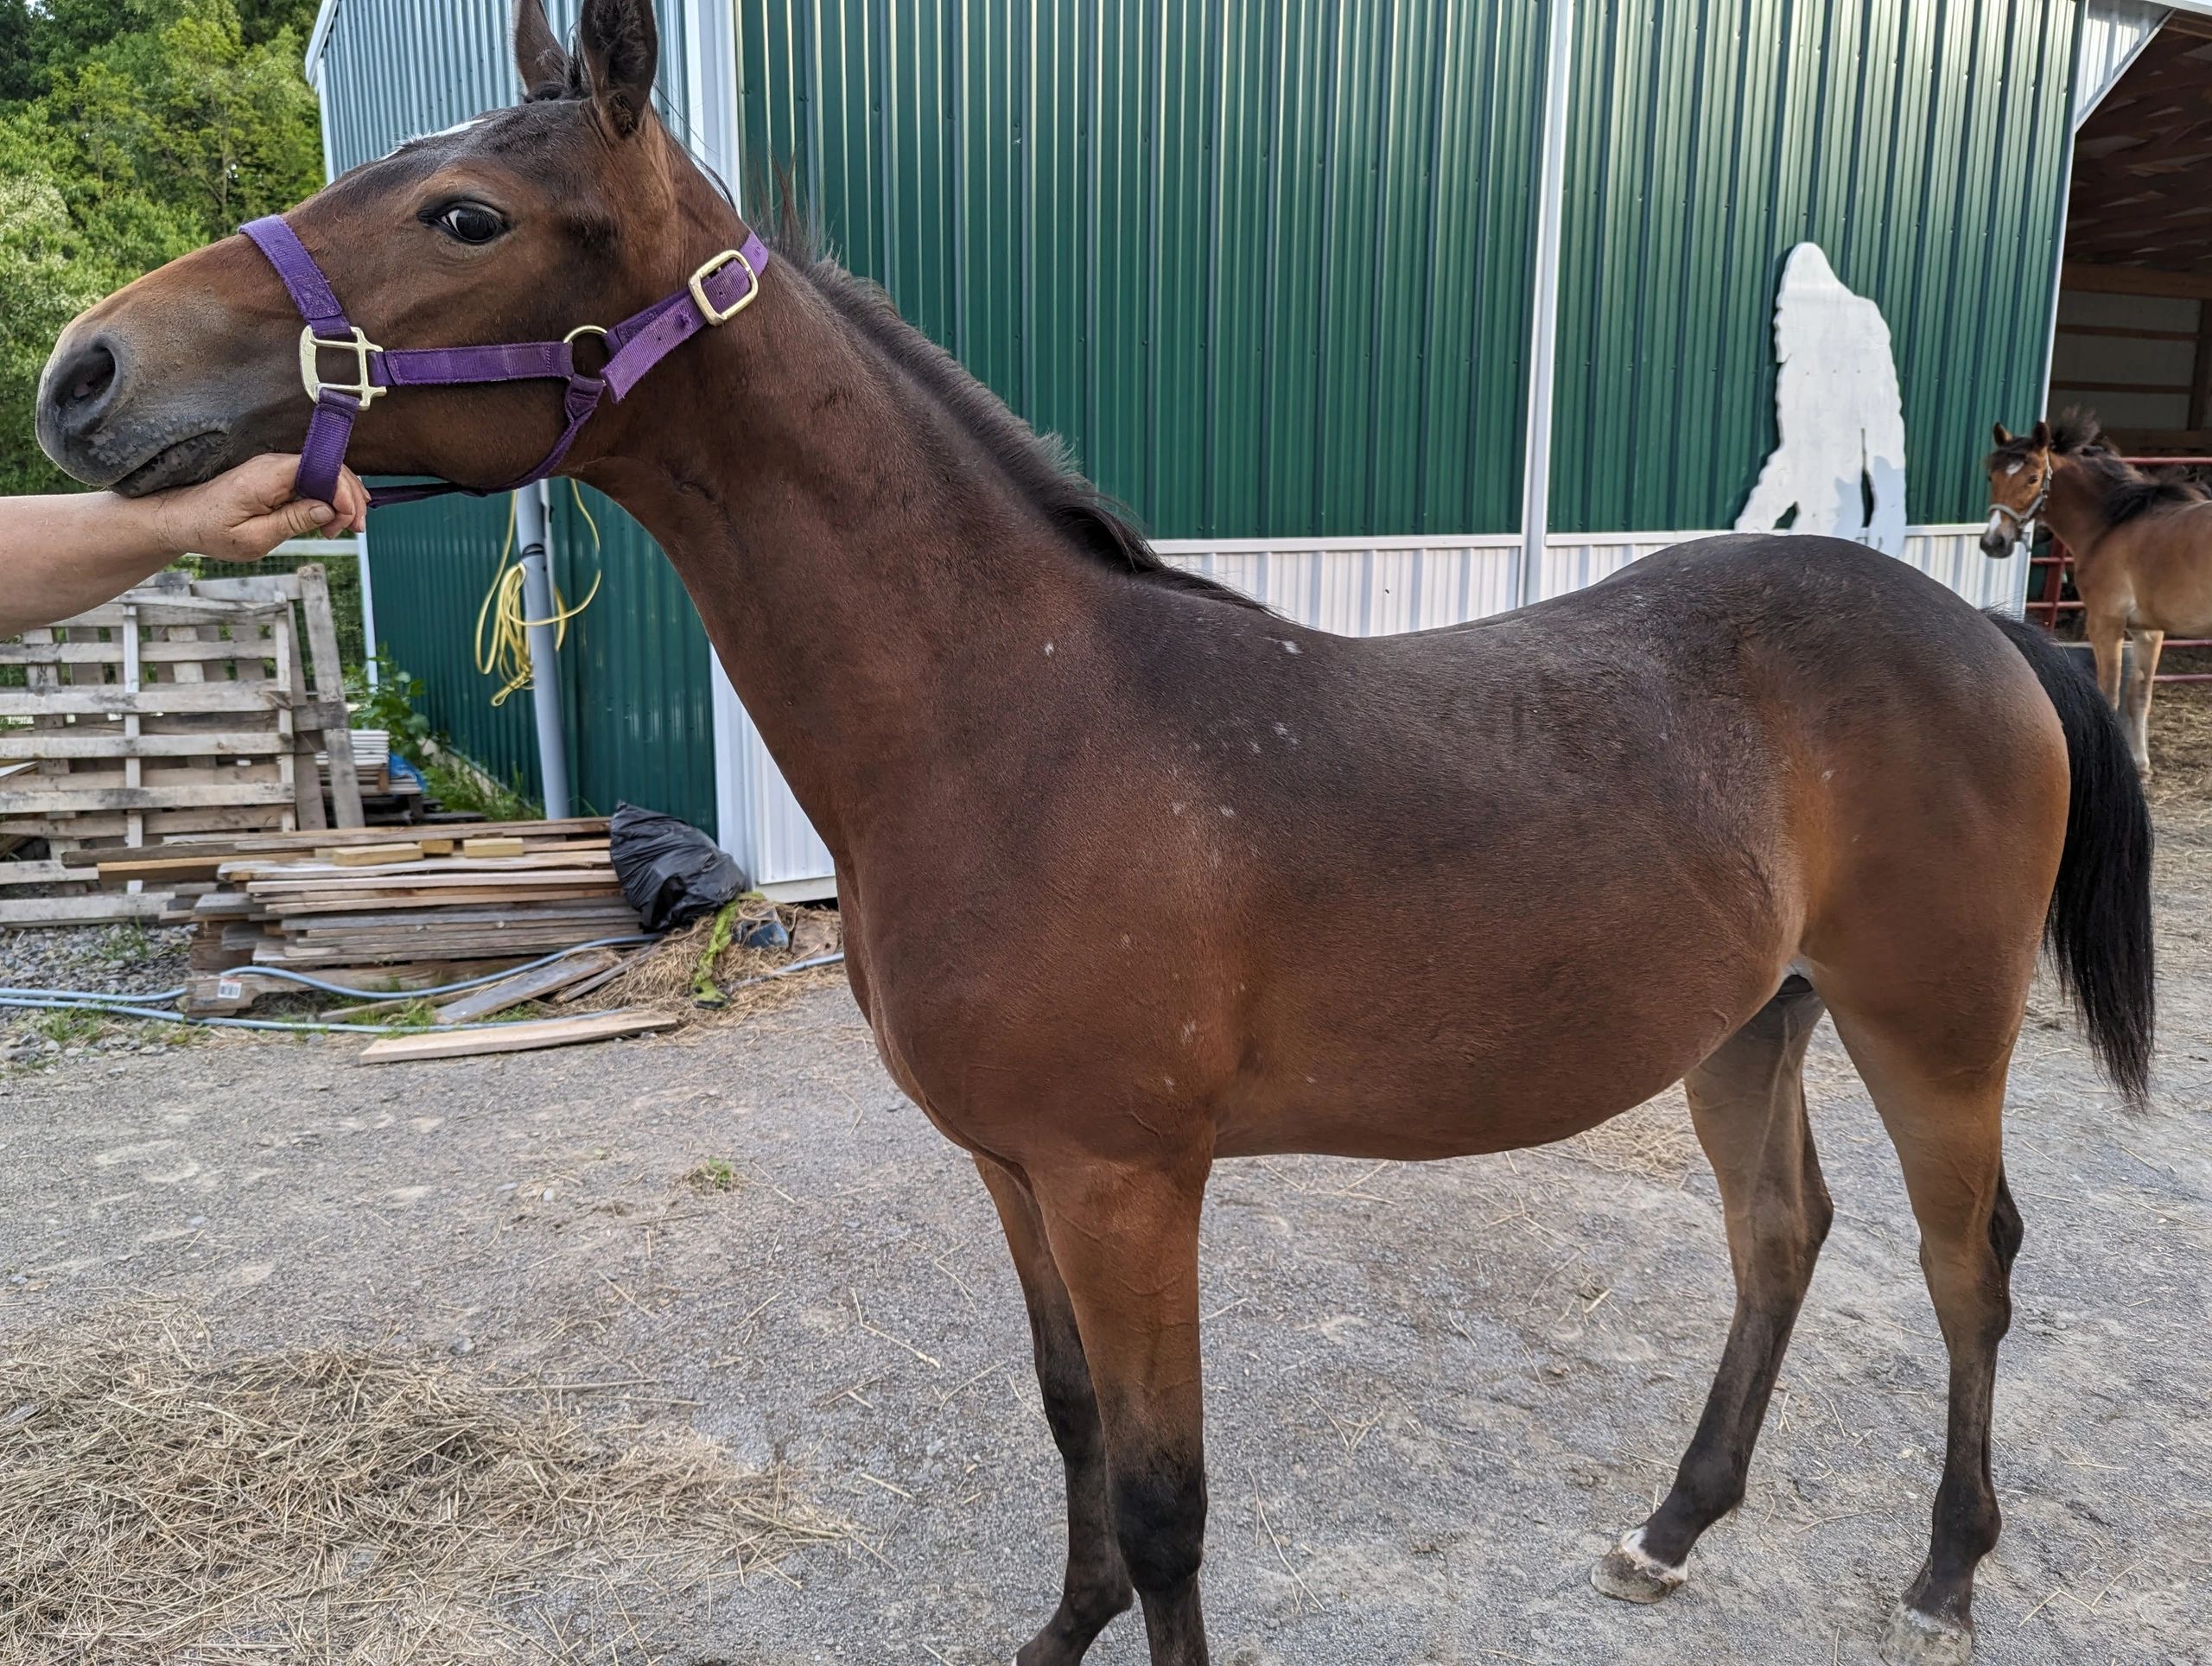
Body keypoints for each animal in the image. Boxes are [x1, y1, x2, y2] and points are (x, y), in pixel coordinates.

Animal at [35, 5, 2154, 1662]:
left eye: (463, 214)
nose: (86, 371)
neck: (1020, 721)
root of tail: (1985, 630)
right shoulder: (1014, 1169)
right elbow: (1065, 1429)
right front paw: (1055, 1630)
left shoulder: (1133, 1183)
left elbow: (1164, 1498)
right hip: (1748, 1019)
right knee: (1779, 1236)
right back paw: (1670, 1527)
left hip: (1928, 1026)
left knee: (1967, 1262)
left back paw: (1944, 1574)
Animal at [1985, 414, 2212, 775]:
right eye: (1991, 475)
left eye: (2033, 478)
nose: (1994, 542)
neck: (2115, 523)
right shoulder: (2148, 631)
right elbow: (2139, 696)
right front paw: (2140, 763)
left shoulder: (2105, 623)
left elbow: (2110, 694)